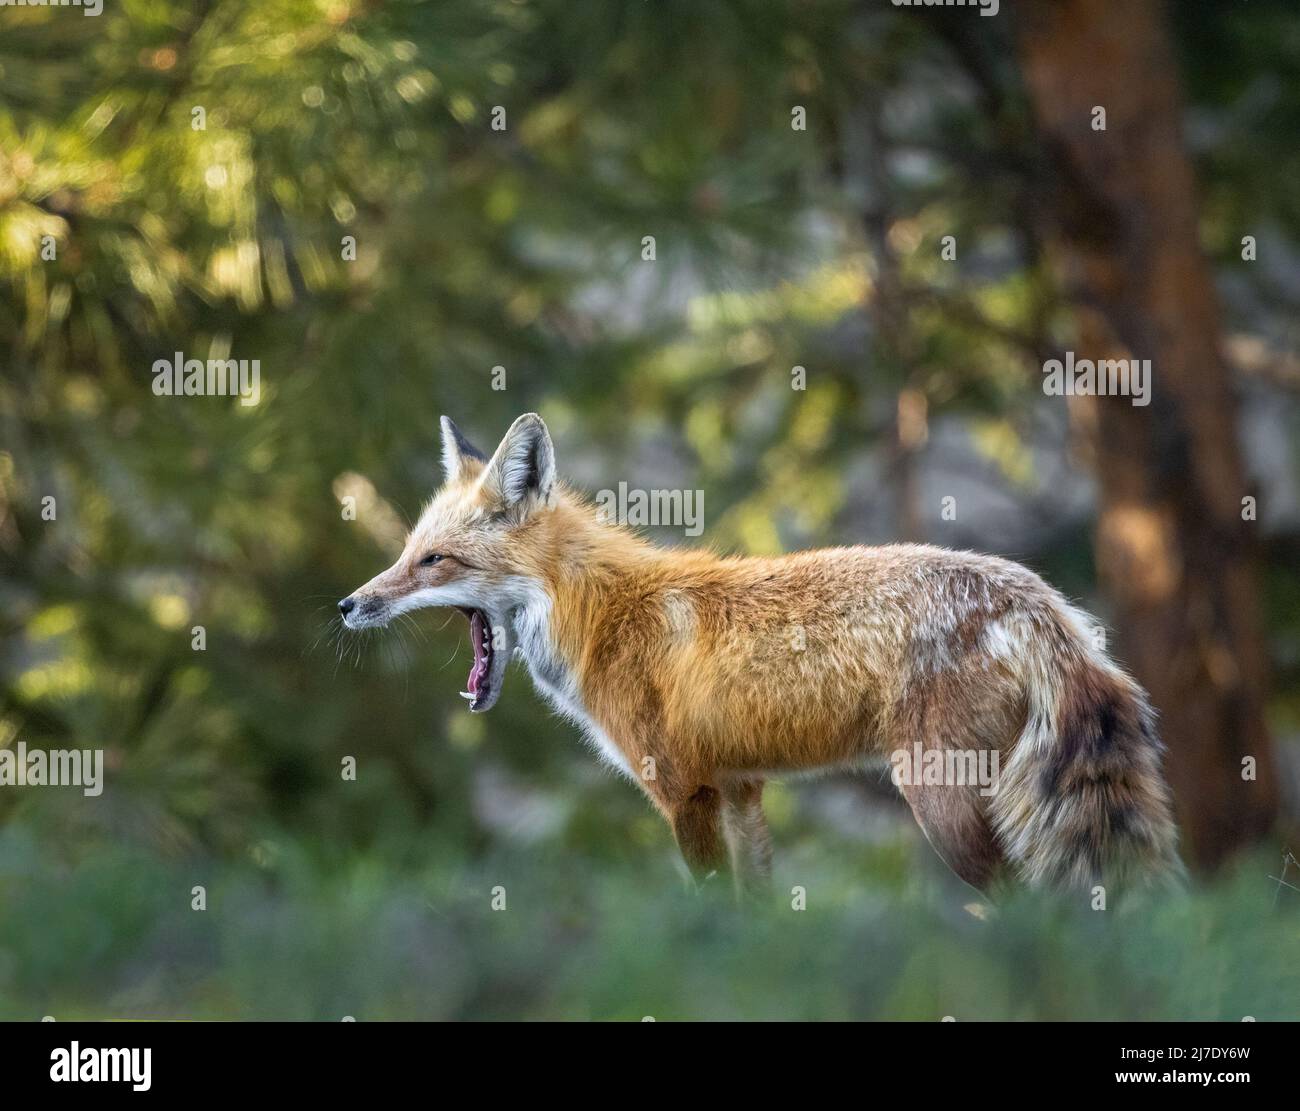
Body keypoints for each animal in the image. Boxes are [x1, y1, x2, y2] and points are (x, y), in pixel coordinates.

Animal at [339, 412, 1184, 896]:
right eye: (406, 551)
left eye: (434, 562)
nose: (349, 605)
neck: (606, 613)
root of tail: (1042, 604)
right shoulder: (740, 789)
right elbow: (756, 913)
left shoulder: (682, 790)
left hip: (945, 805)